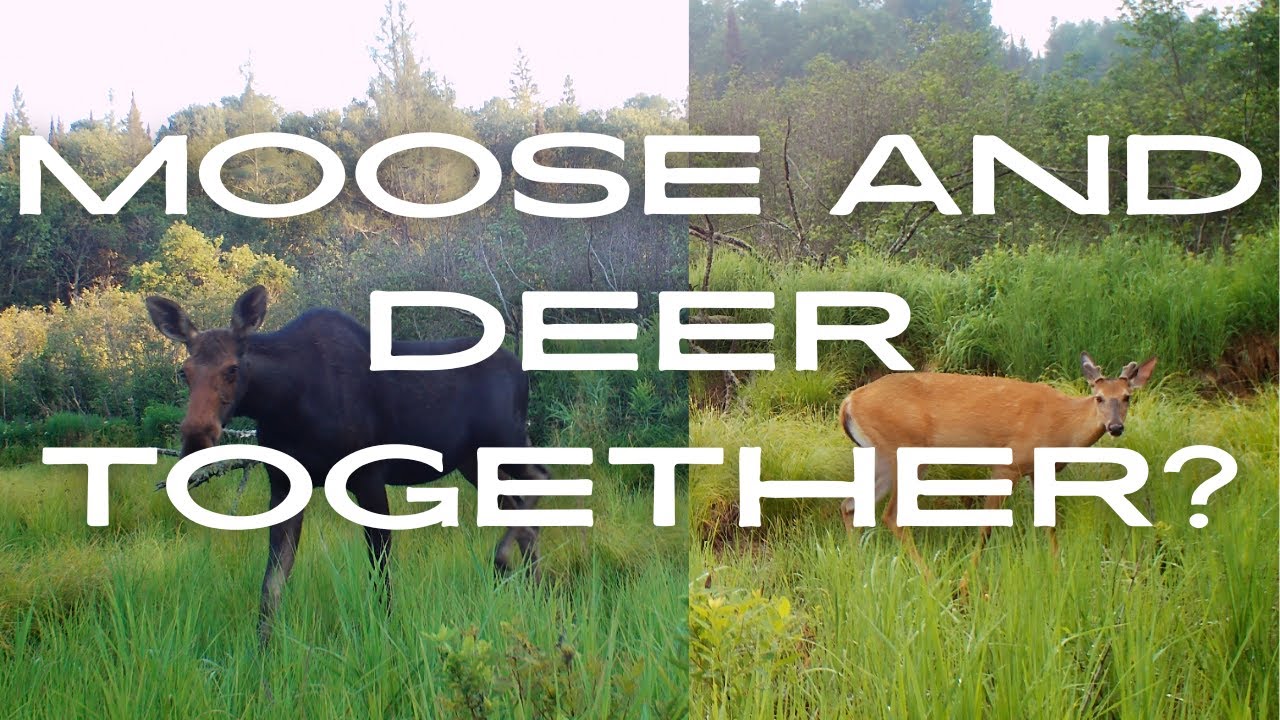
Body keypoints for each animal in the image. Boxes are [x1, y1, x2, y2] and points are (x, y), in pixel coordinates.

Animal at [837, 352, 1157, 578]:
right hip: (907, 451)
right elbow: (986, 526)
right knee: (892, 515)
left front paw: (1058, 569)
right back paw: (928, 576)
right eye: (1099, 397)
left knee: (850, 505)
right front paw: (967, 581)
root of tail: (849, 401)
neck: (1063, 426)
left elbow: (1050, 524)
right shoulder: (1008, 464)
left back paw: (858, 567)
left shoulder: (1036, 470)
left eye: (1127, 397)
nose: (1115, 427)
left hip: (881, 457)